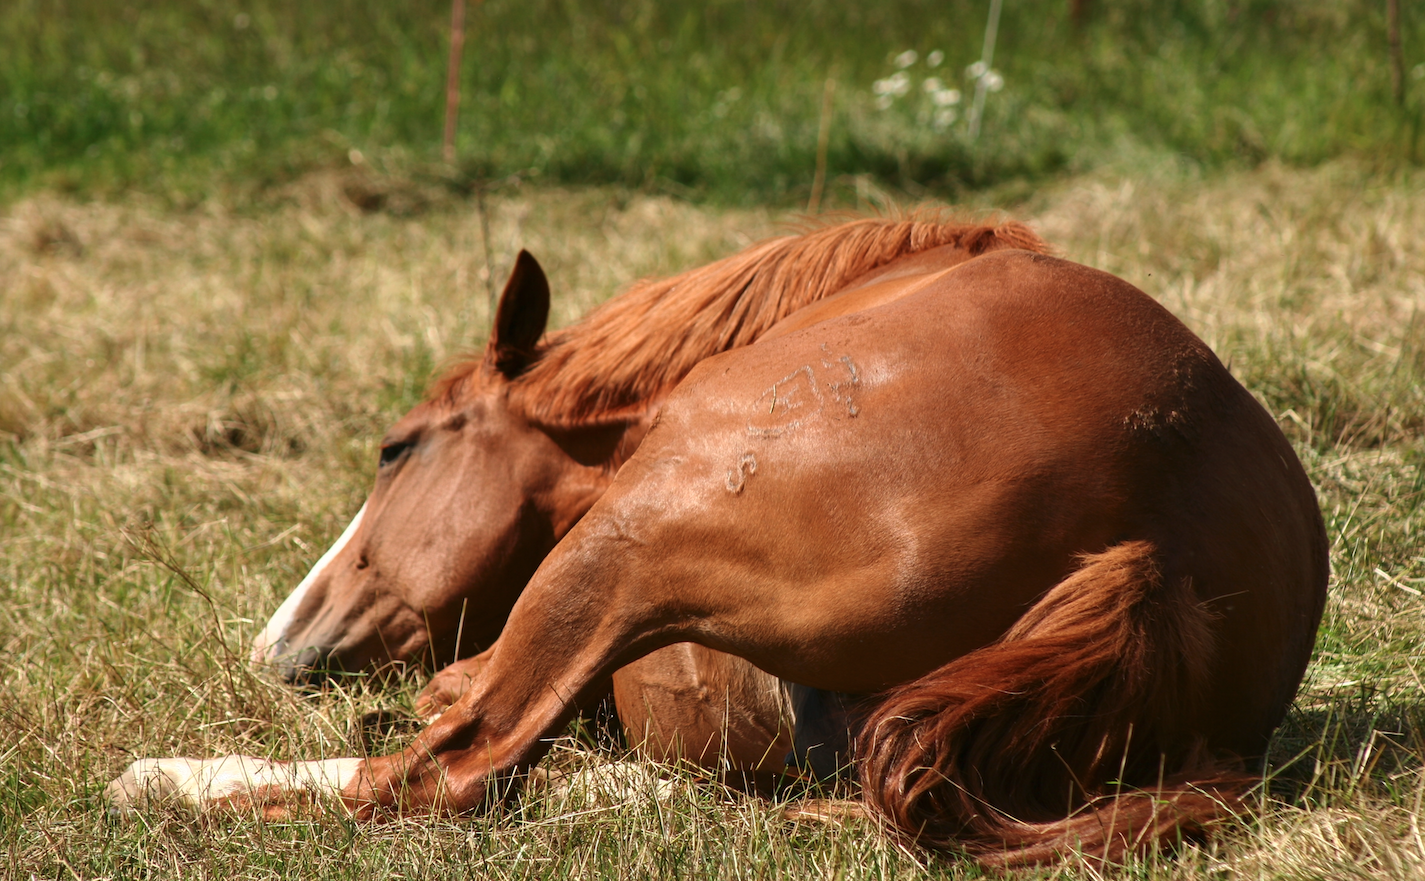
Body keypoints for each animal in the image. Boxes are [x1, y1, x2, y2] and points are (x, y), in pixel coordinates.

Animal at [108, 220, 1328, 867]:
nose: (277, 638)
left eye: (397, 448)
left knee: (443, 775)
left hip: (622, 549)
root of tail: (1155, 548)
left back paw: (165, 777)